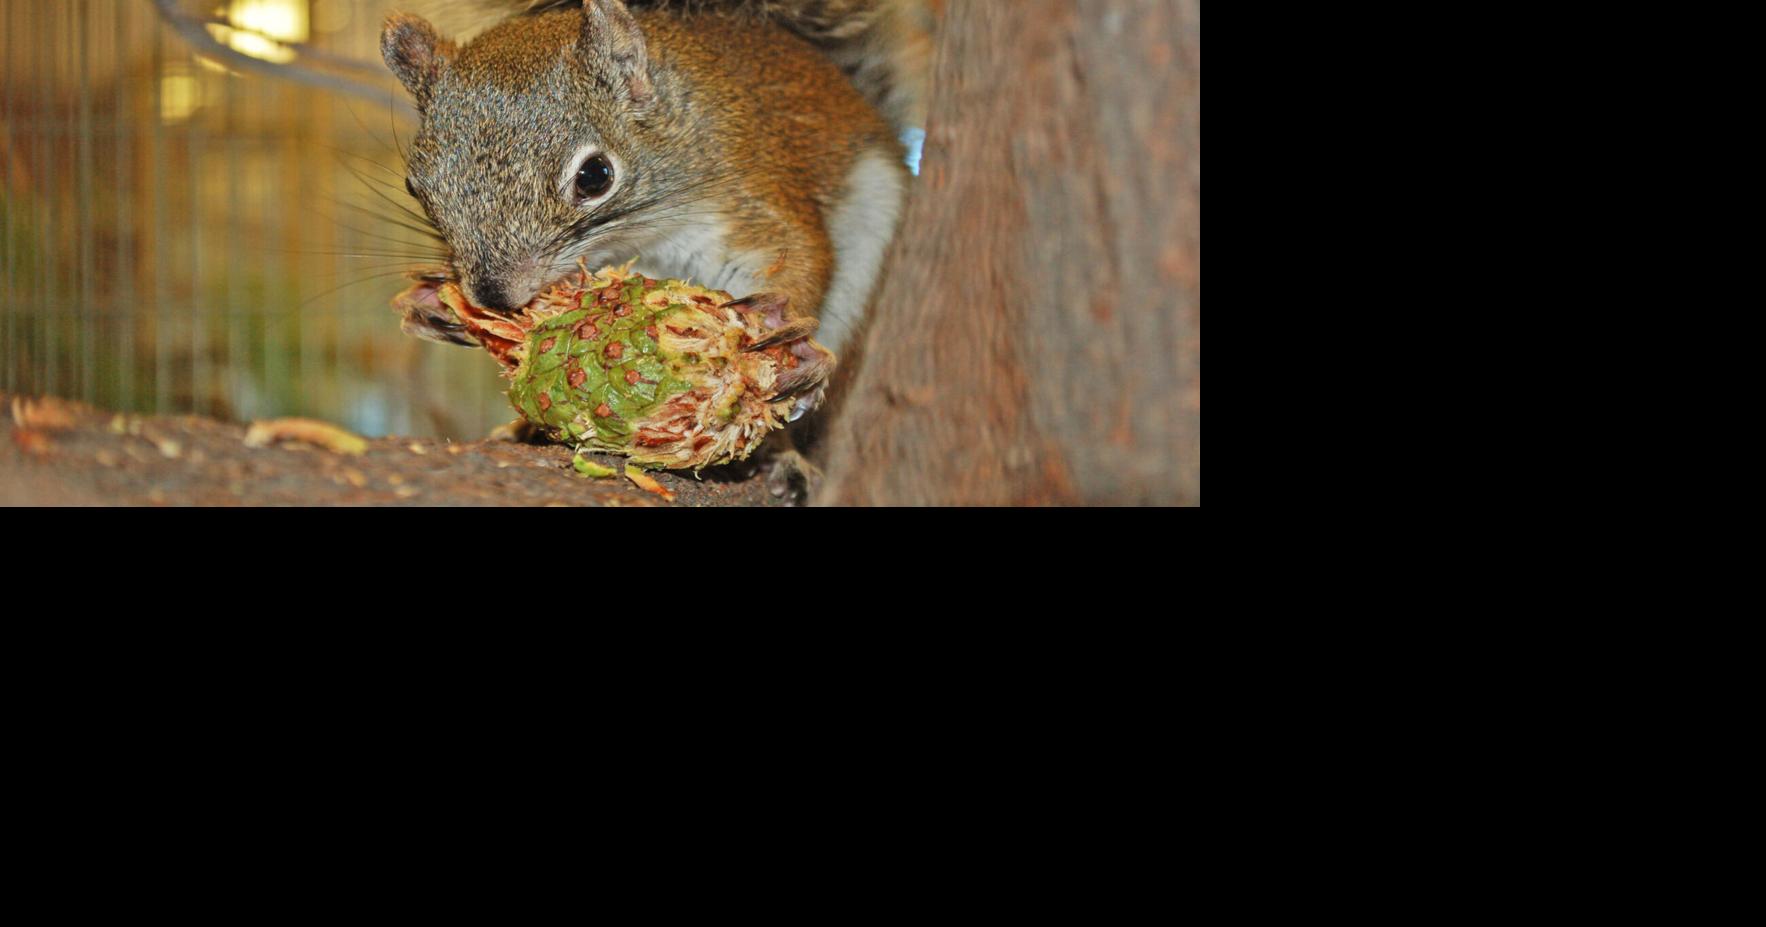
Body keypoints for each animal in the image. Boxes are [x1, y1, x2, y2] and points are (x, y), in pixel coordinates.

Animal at [382, 0, 927, 368]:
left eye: (595, 176)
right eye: (415, 186)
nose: (494, 296)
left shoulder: (747, 196)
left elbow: (800, 255)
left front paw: (778, 317)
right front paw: (430, 304)